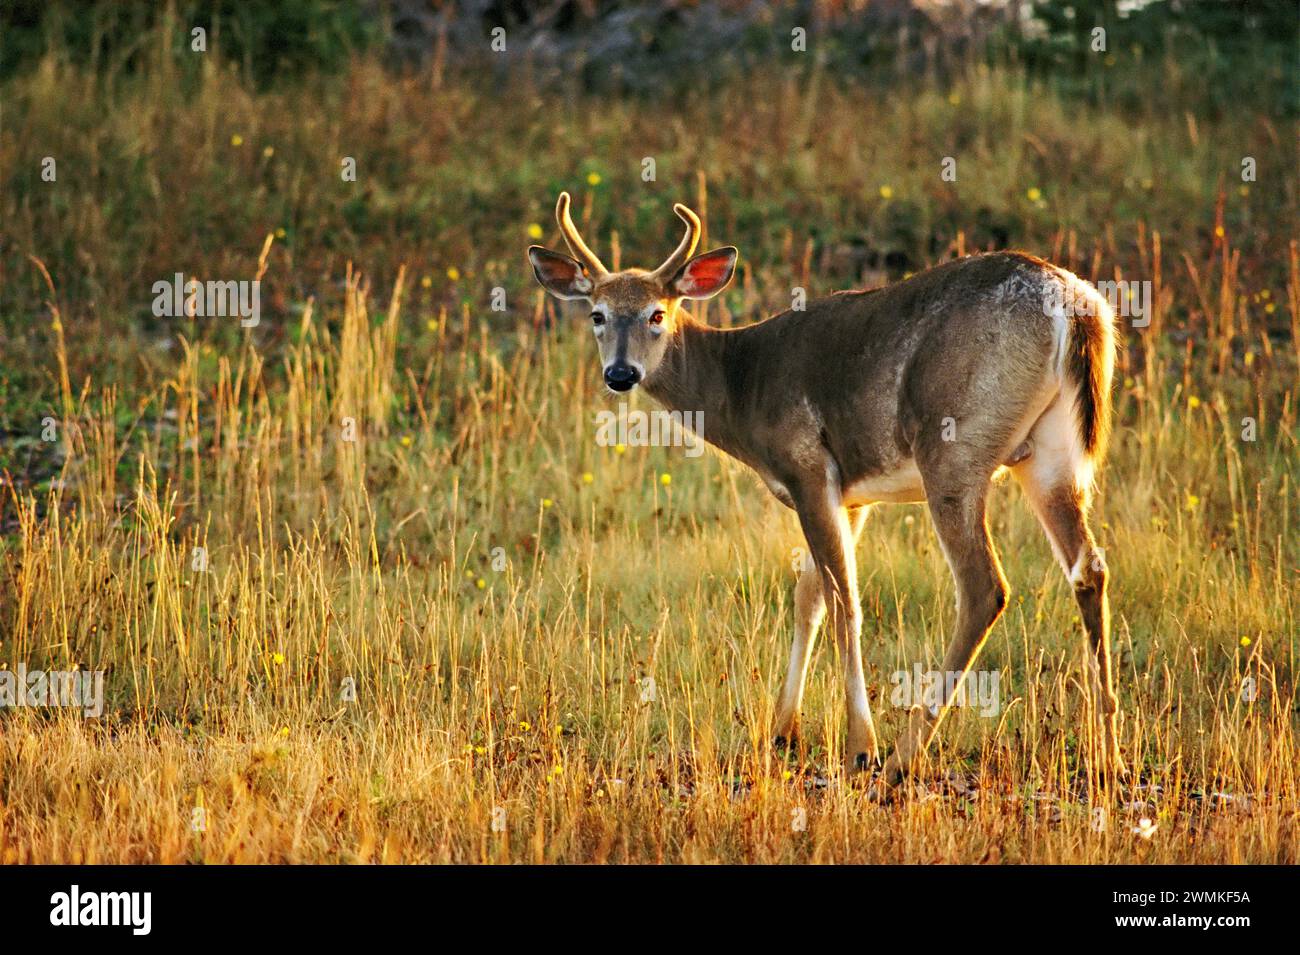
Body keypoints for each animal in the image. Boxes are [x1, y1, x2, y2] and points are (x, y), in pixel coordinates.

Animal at [528, 192, 1126, 790]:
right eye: (597, 315)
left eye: (657, 313)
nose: (620, 373)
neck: (741, 386)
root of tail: (1075, 306)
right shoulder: (853, 496)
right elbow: (808, 597)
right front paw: (781, 729)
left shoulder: (809, 468)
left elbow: (842, 601)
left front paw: (861, 747)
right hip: (1054, 454)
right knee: (1090, 568)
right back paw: (1110, 755)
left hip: (954, 449)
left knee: (985, 587)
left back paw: (903, 757)